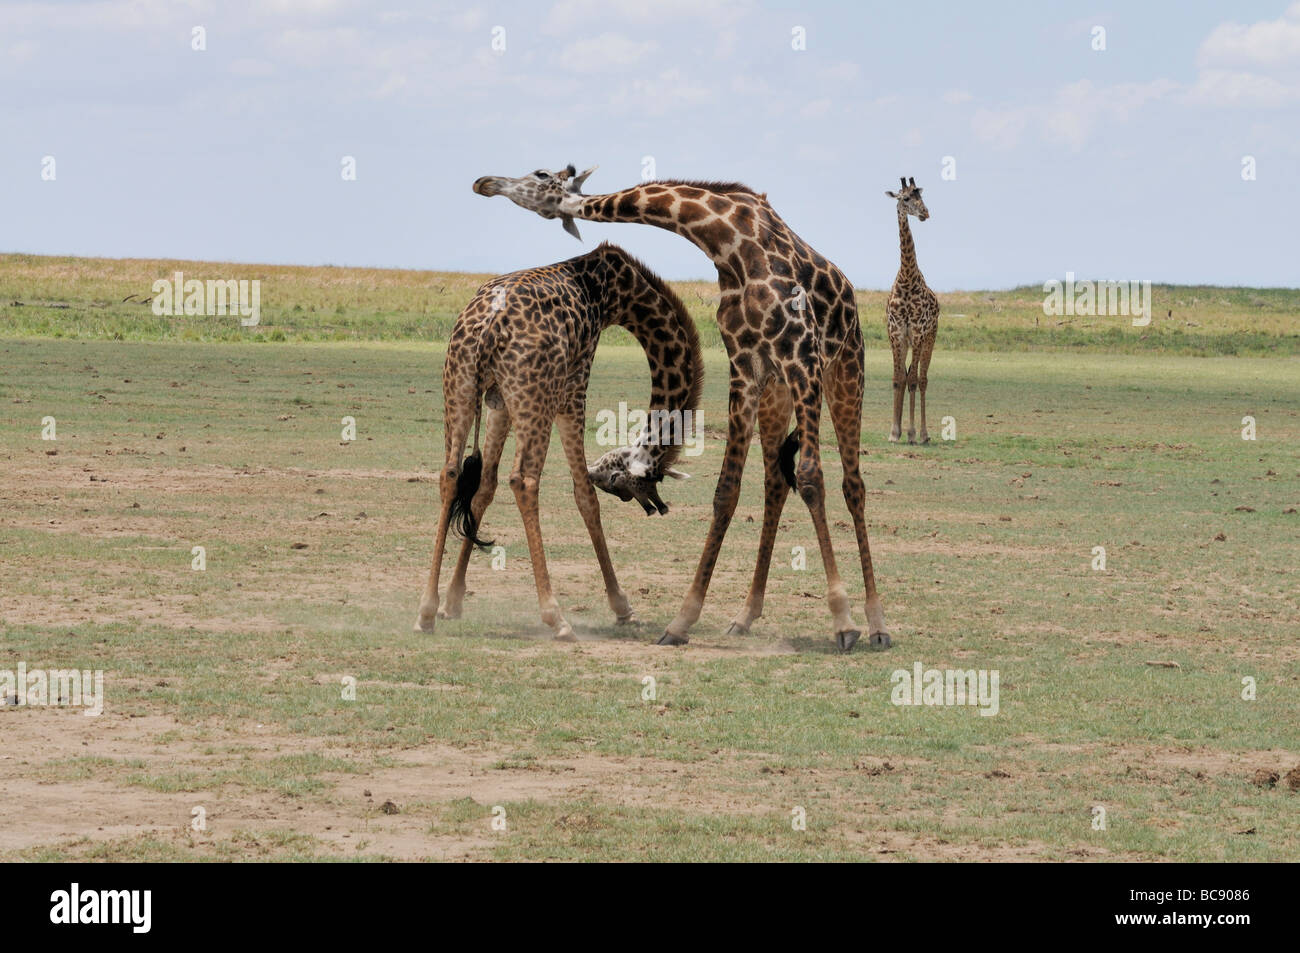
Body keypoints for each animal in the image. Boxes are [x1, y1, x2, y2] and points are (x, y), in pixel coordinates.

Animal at [414, 241, 703, 641]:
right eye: (648, 479)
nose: (658, 508)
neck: (614, 290)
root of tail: (490, 326)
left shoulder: (499, 401)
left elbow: (484, 487)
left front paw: (453, 603)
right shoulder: (573, 390)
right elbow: (585, 495)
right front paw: (622, 607)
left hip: (460, 387)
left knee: (450, 474)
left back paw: (425, 611)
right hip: (538, 399)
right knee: (524, 480)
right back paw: (556, 617)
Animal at [472, 164, 891, 652]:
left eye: (540, 176)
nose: (484, 183)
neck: (731, 243)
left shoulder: (801, 357)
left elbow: (811, 478)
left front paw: (844, 622)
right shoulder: (747, 365)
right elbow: (727, 490)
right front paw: (682, 622)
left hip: (844, 371)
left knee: (852, 485)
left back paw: (877, 624)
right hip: (778, 395)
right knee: (774, 483)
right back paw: (745, 617)